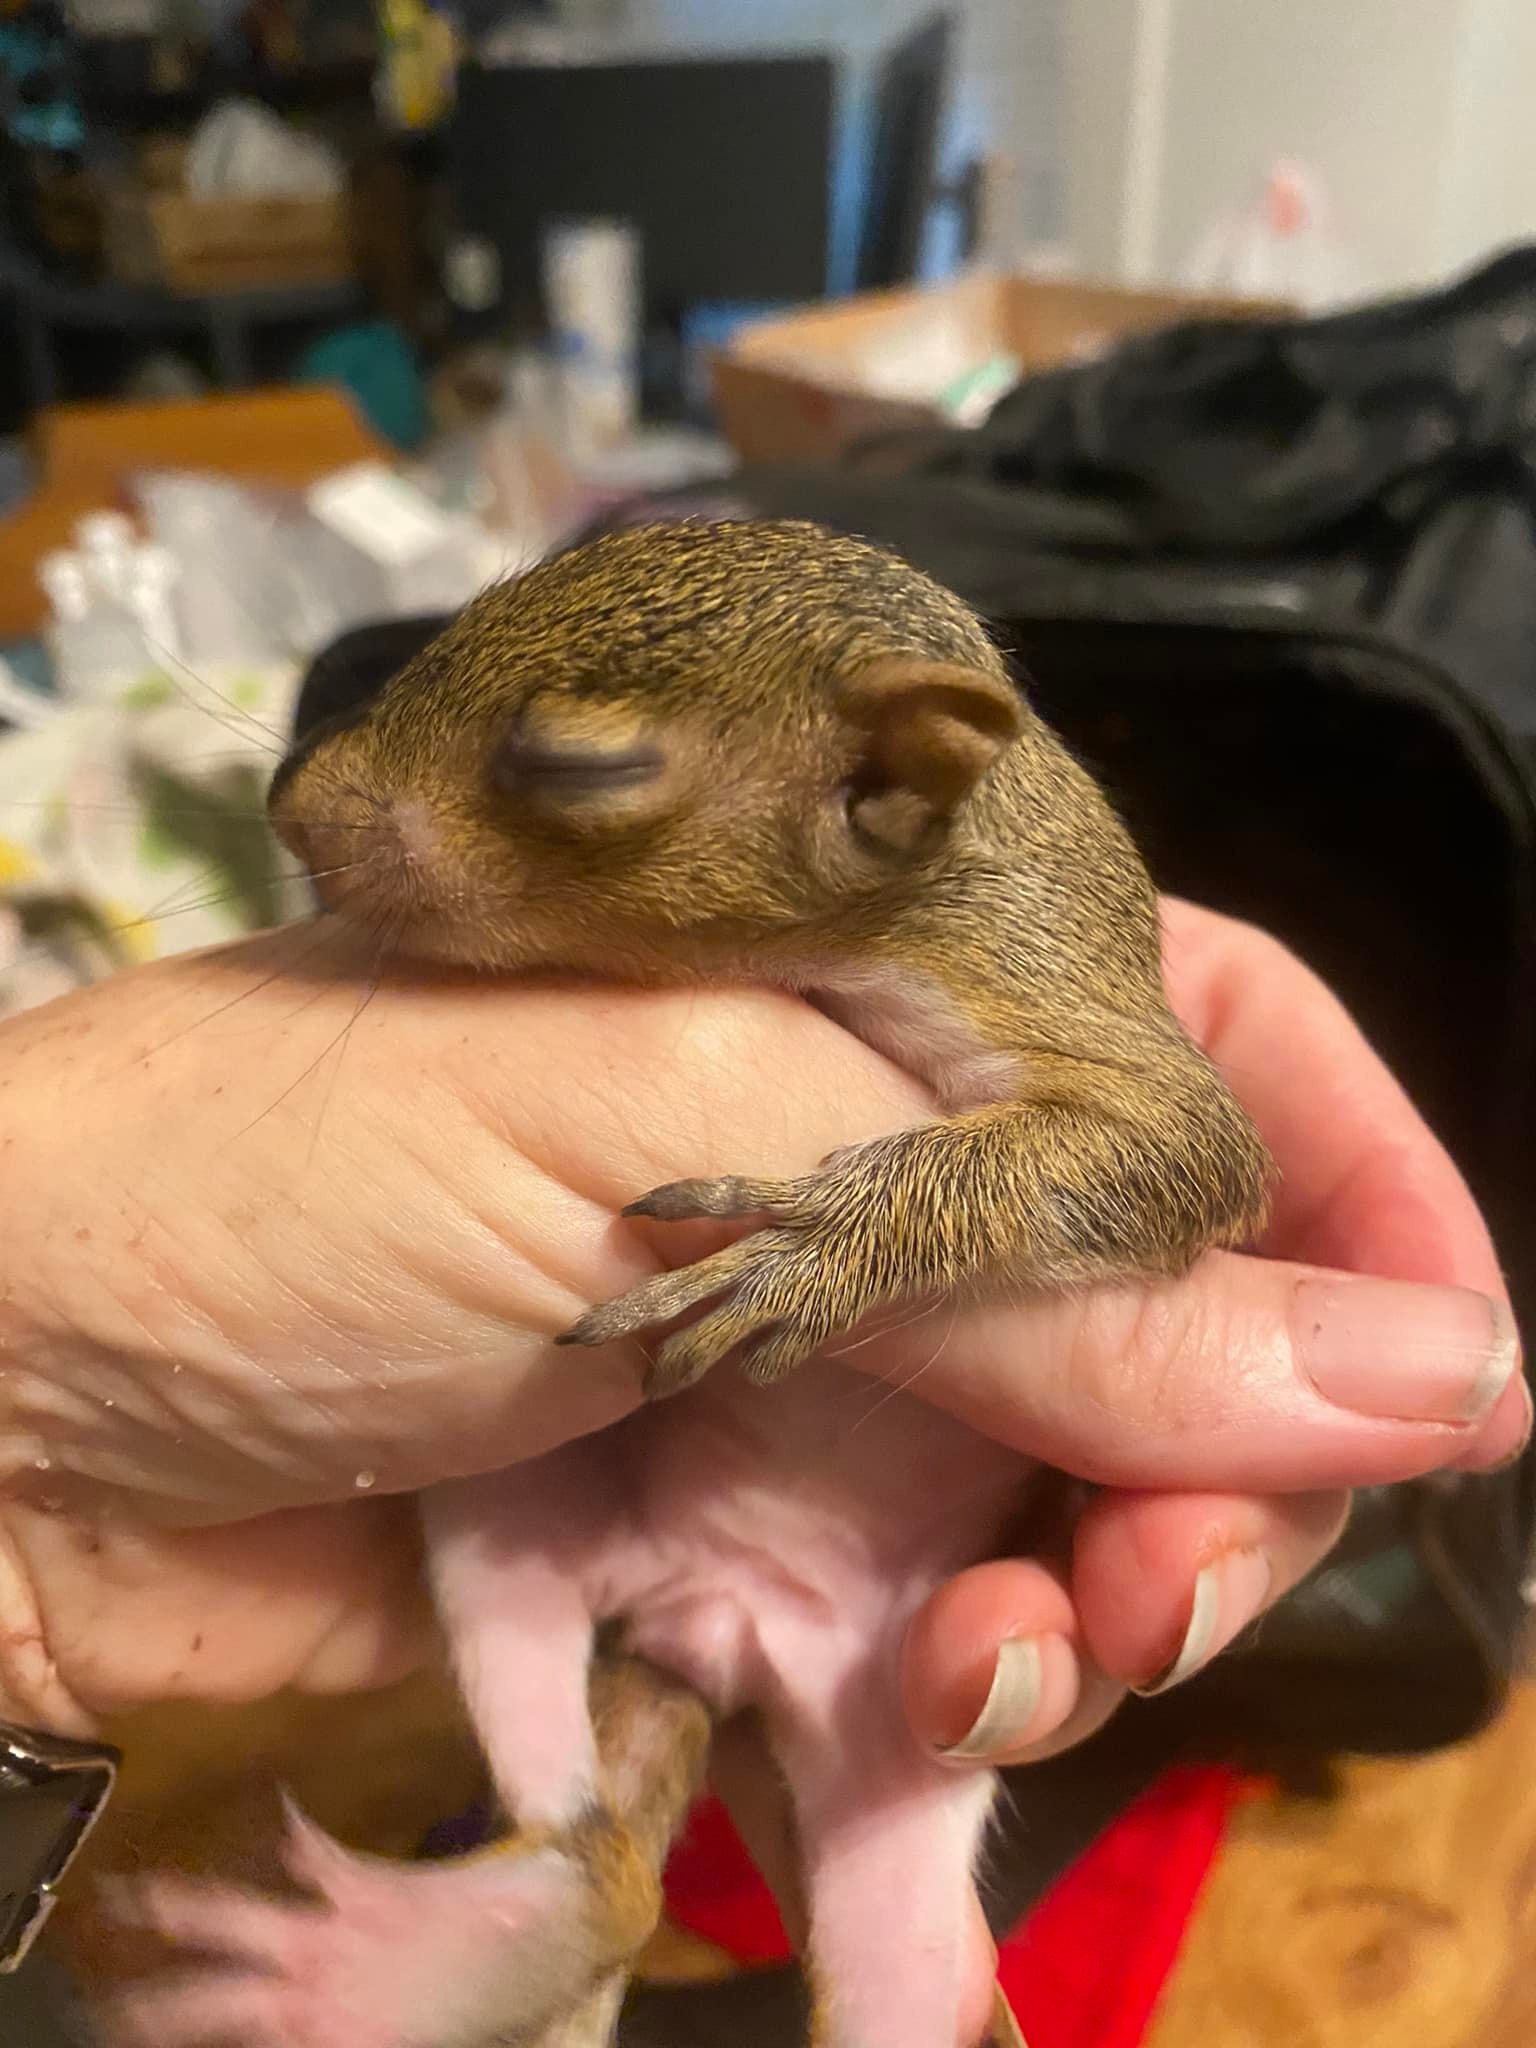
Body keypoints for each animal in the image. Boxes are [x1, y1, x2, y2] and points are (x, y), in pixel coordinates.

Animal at [104, 521, 1269, 2048]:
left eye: (581, 767)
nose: (289, 805)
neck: (876, 923)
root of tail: (714, 1632)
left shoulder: (1056, 990)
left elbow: (1177, 1159)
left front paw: (821, 1247)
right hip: (501, 1518)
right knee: (589, 1848)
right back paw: (413, 1961)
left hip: (899, 1735)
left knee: (863, 1961)